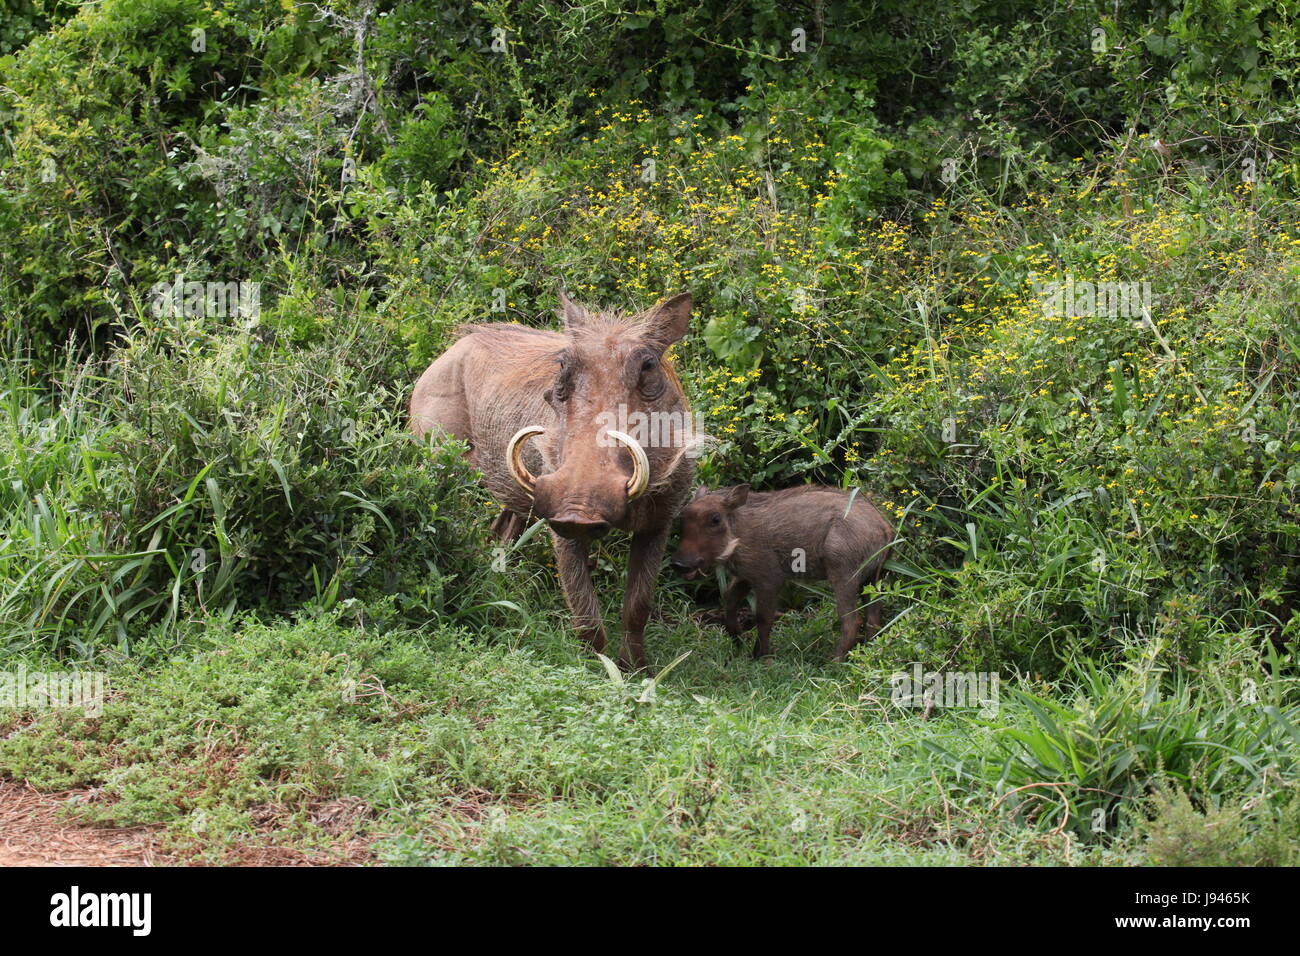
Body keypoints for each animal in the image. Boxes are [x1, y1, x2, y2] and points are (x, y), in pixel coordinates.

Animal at [671, 484, 893, 661]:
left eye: (715, 519)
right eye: (683, 516)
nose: (679, 565)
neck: (738, 533)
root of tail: (885, 527)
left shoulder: (769, 579)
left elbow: (763, 618)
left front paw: (762, 658)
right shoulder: (745, 576)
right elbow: (730, 602)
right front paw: (740, 646)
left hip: (845, 576)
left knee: (851, 620)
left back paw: (833, 662)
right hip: (872, 578)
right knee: (873, 617)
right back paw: (869, 652)